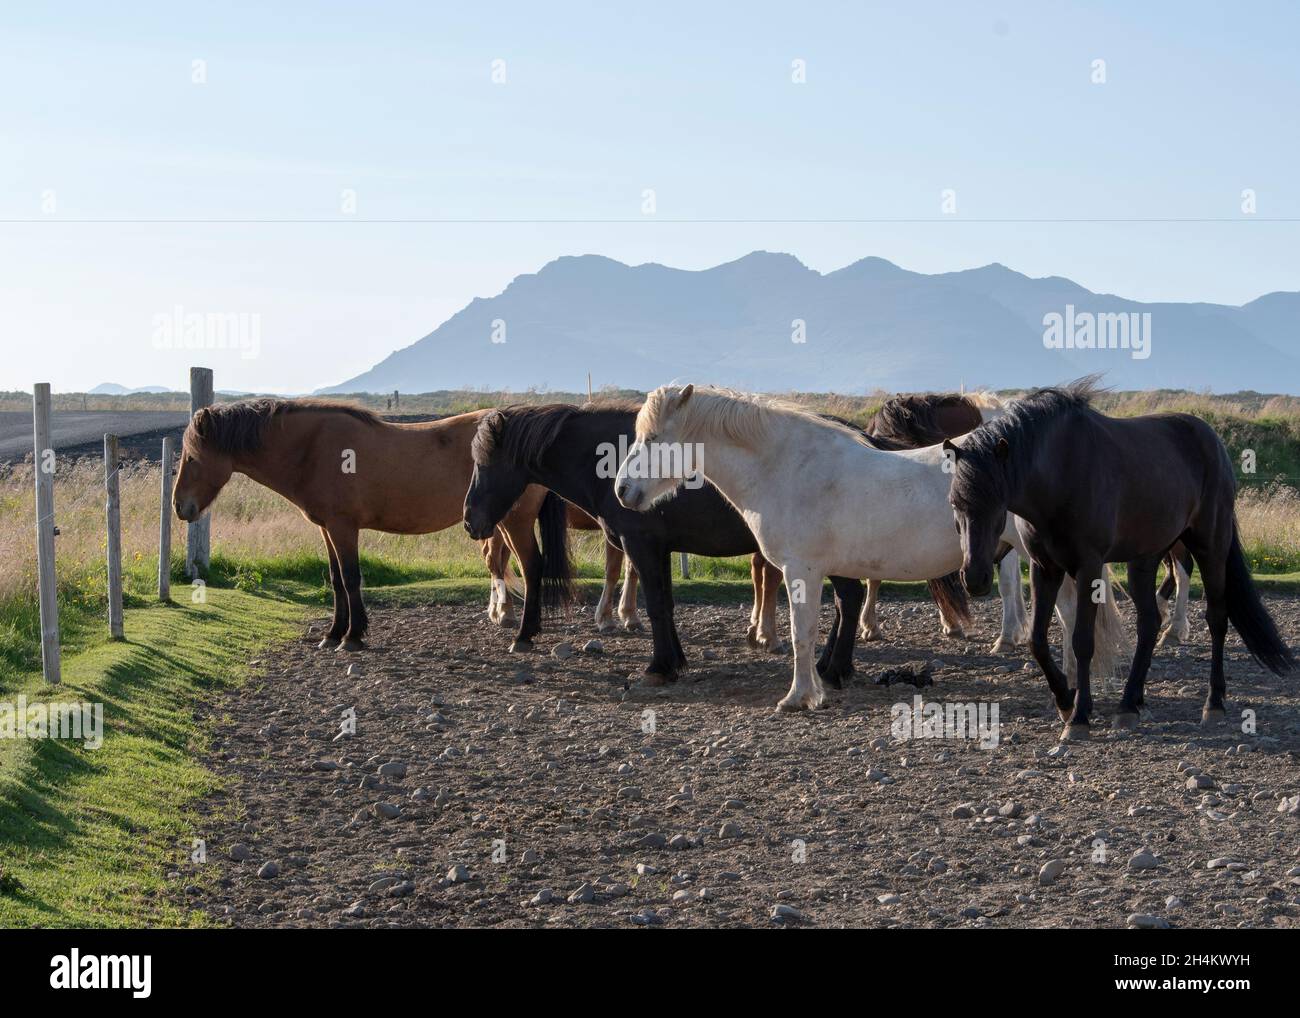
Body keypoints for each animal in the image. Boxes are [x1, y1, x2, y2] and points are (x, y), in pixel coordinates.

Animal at [172, 397, 615, 651]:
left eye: (191, 457)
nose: (179, 507)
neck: (313, 448)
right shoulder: (327, 529)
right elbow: (335, 580)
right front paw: (333, 633)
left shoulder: (343, 527)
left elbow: (351, 579)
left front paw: (352, 637)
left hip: (514, 522)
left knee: (532, 568)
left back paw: (523, 636)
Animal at [462, 402, 968, 684]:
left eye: (486, 461)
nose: (470, 520)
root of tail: (865, 439)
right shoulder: (658, 550)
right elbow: (664, 602)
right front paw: (675, 659)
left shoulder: (642, 545)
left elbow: (656, 605)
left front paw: (661, 666)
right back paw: (829, 665)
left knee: (849, 600)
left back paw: (835, 668)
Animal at [614, 384, 1126, 712]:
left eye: (654, 439)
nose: (622, 490)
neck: (785, 466)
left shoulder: (802, 571)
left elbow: (802, 636)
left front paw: (799, 697)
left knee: (1067, 615)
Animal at [945, 379, 1294, 740]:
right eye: (955, 504)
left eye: (997, 503)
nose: (975, 578)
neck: (1061, 471)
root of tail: (1211, 440)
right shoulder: (1045, 568)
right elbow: (1037, 641)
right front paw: (1066, 700)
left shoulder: (1088, 567)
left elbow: (1083, 640)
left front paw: (1079, 717)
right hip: (1146, 559)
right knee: (1149, 622)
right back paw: (1130, 703)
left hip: (1210, 546)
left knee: (1216, 619)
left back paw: (1213, 704)